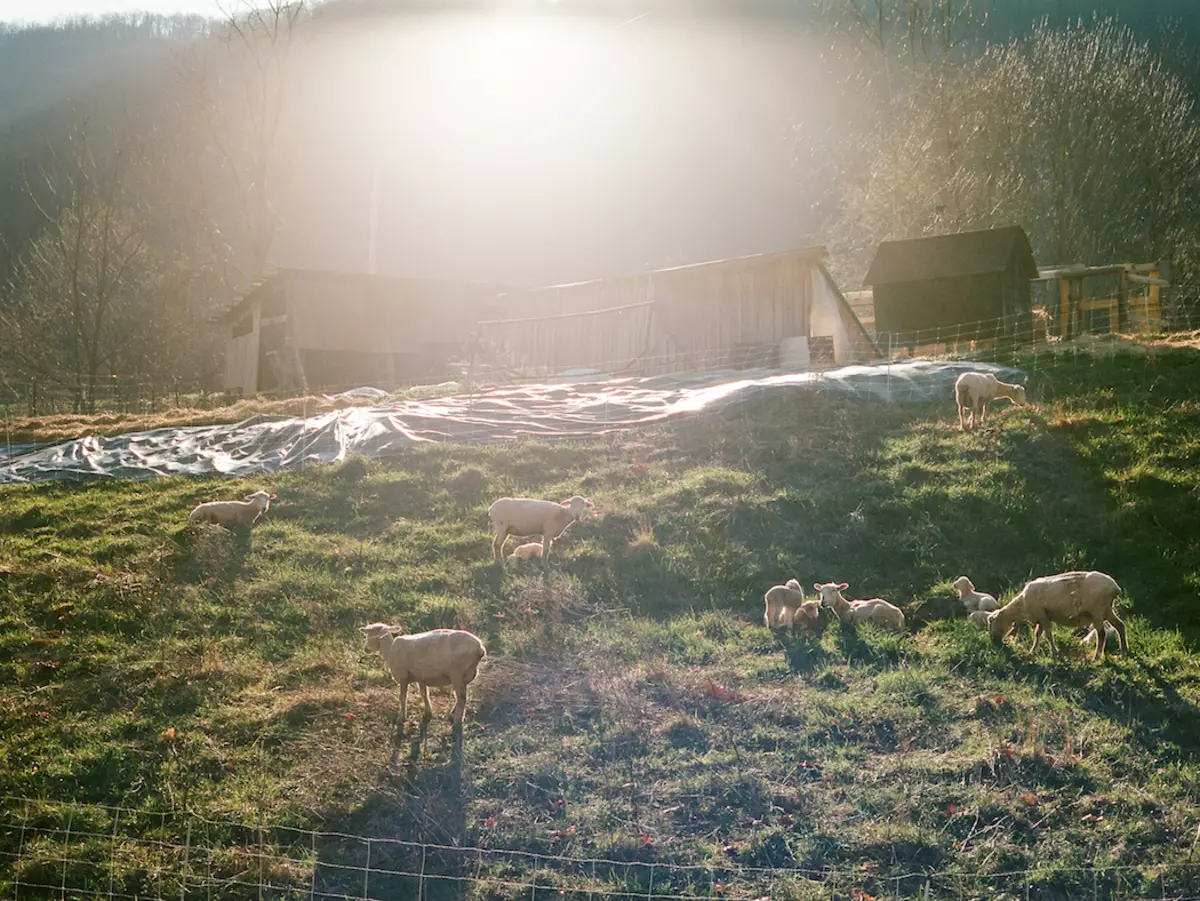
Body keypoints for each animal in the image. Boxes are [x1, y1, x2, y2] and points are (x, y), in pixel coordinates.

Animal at [355, 623, 487, 729]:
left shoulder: (403, 676)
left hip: (457, 673)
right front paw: (428, 712)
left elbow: (402, 697)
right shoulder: (421, 677)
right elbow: (424, 694)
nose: (365, 649)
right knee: (461, 697)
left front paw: (401, 718)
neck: (389, 650)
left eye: (368, 635)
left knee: (461, 698)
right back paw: (452, 714)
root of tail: (480, 649)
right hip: (464, 675)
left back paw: (457, 722)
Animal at [984, 571, 1123, 662]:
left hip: (1097, 611)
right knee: (1120, 626)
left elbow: (1048, 635)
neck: (1021, 606)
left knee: (1102, 634)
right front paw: (1033, 651)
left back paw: (1096, 657)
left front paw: (1054, 653)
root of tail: (1115, 587)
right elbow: (1038, 634)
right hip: (1107, 610)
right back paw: (1124, 651)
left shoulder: (1042, 616)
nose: (994, 641)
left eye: (992, 623)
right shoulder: (1041, 617)